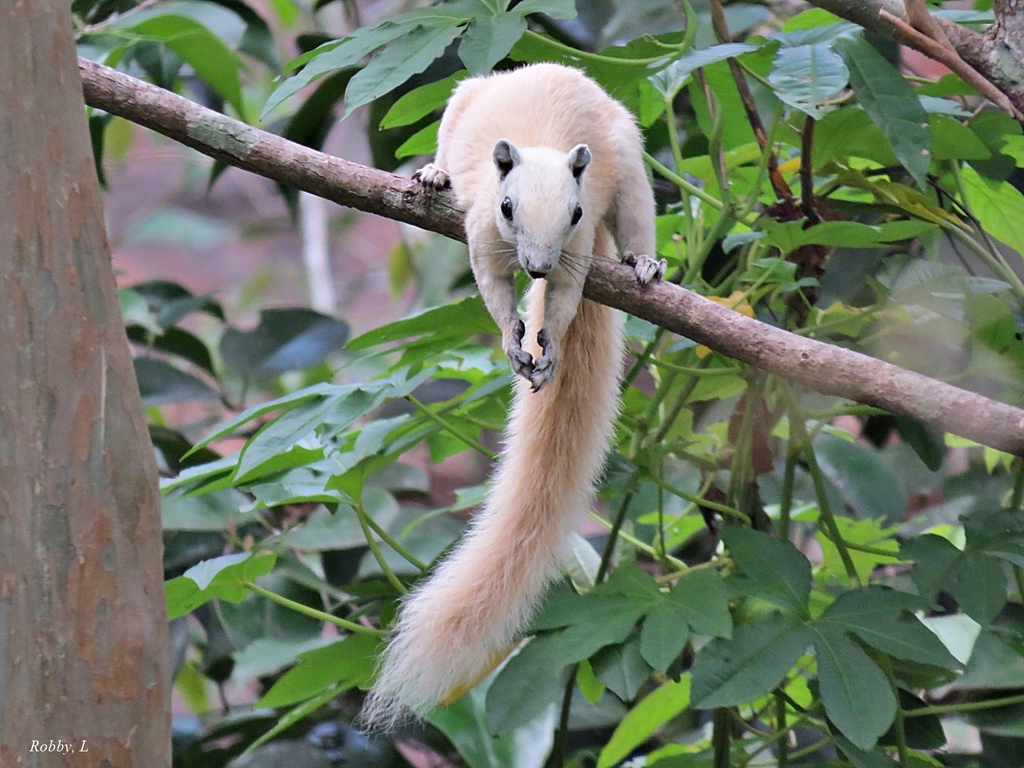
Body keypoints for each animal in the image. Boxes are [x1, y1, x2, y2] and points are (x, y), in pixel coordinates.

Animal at [362, 62, 665, 727]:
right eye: (507, 205)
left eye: (574, 213)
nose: (537, 267)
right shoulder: (481, 230)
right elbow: (491, 285)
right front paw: (512, 338)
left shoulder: (579, 247)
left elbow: (568, 299)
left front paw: (546, 344)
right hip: (461, 101)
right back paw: (432, 173)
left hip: (629, 159)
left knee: (635, 216)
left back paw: (644, 264)